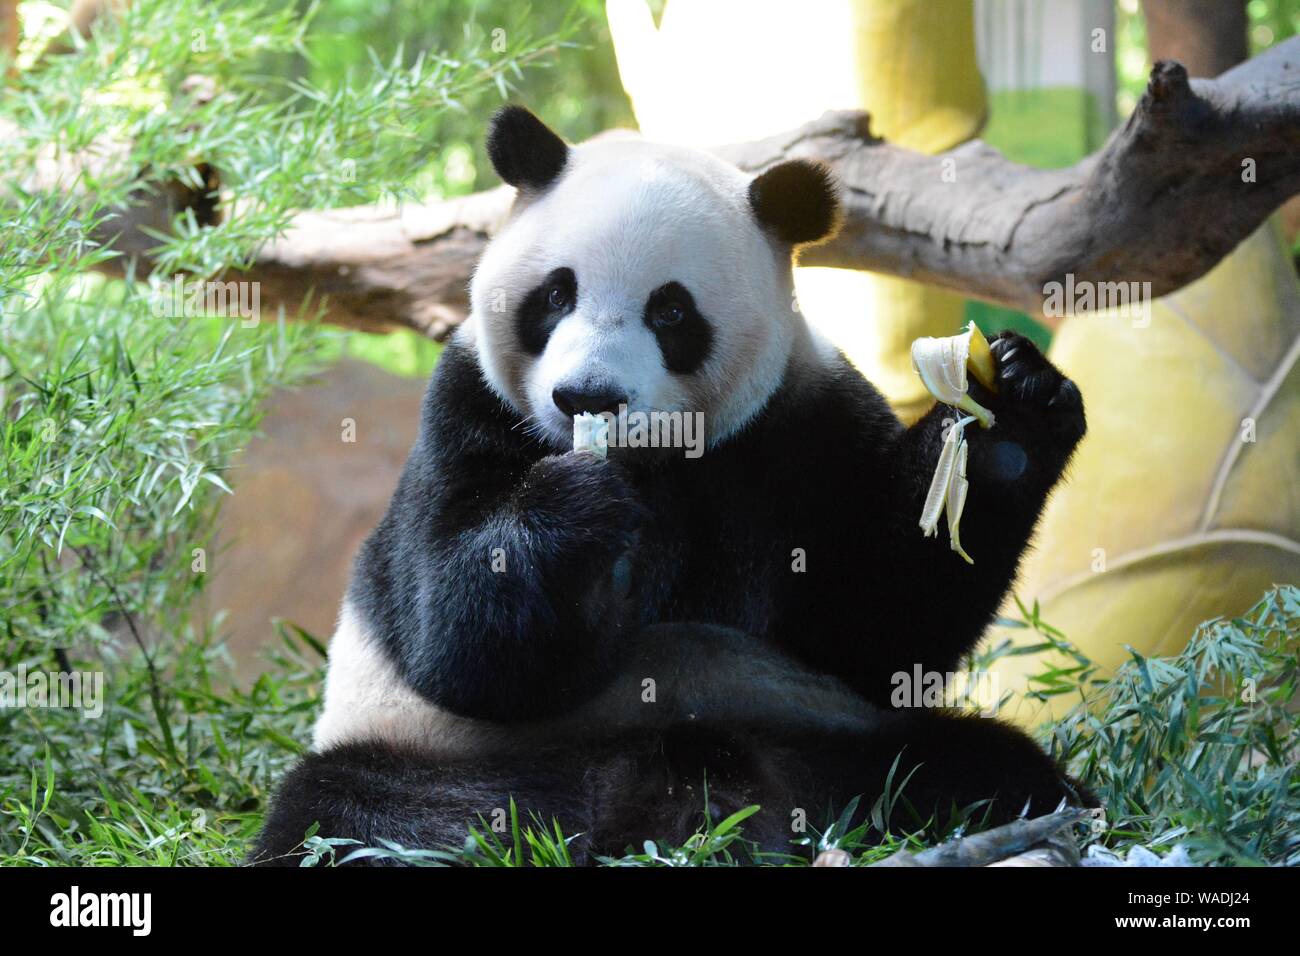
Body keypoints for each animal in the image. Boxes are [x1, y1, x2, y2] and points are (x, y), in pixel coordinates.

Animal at [251, 106, 1091, 865]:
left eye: (672, 310)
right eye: (555, 295)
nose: (586, 397)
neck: (657, 460)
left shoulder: (800, 428)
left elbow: (879, 624)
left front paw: (1014, 406)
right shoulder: (468, 409)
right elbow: (455, 641)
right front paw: (578, 508)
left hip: (820, 740)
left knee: (971, 770)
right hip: (444, 756)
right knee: (358, 813)